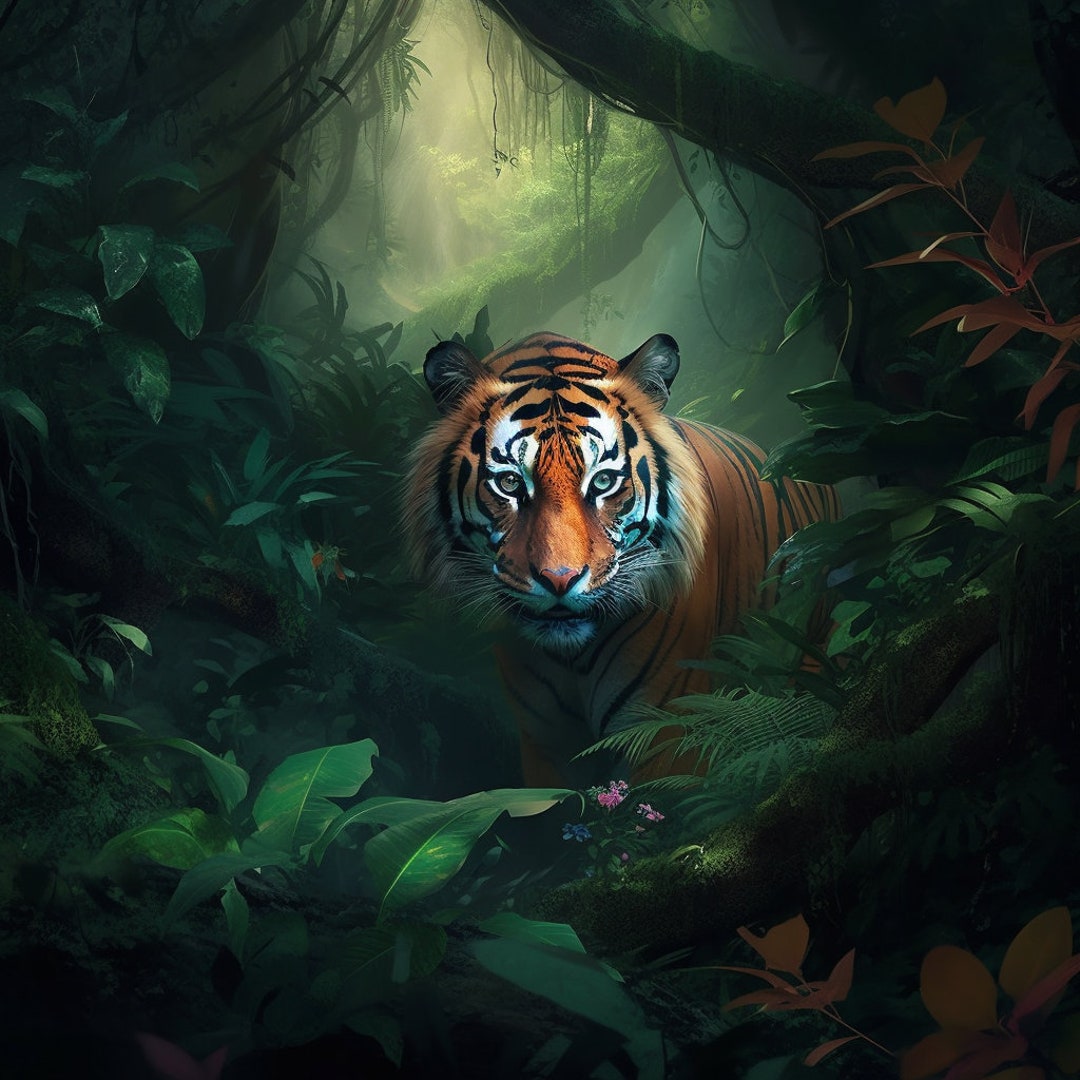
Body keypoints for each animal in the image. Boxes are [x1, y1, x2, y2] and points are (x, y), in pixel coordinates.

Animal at [402, 331, 840, 787]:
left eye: (603, 482)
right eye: (509, 483)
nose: (559, 579)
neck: (569, 658)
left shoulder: (666, 727)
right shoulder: (544, 743)